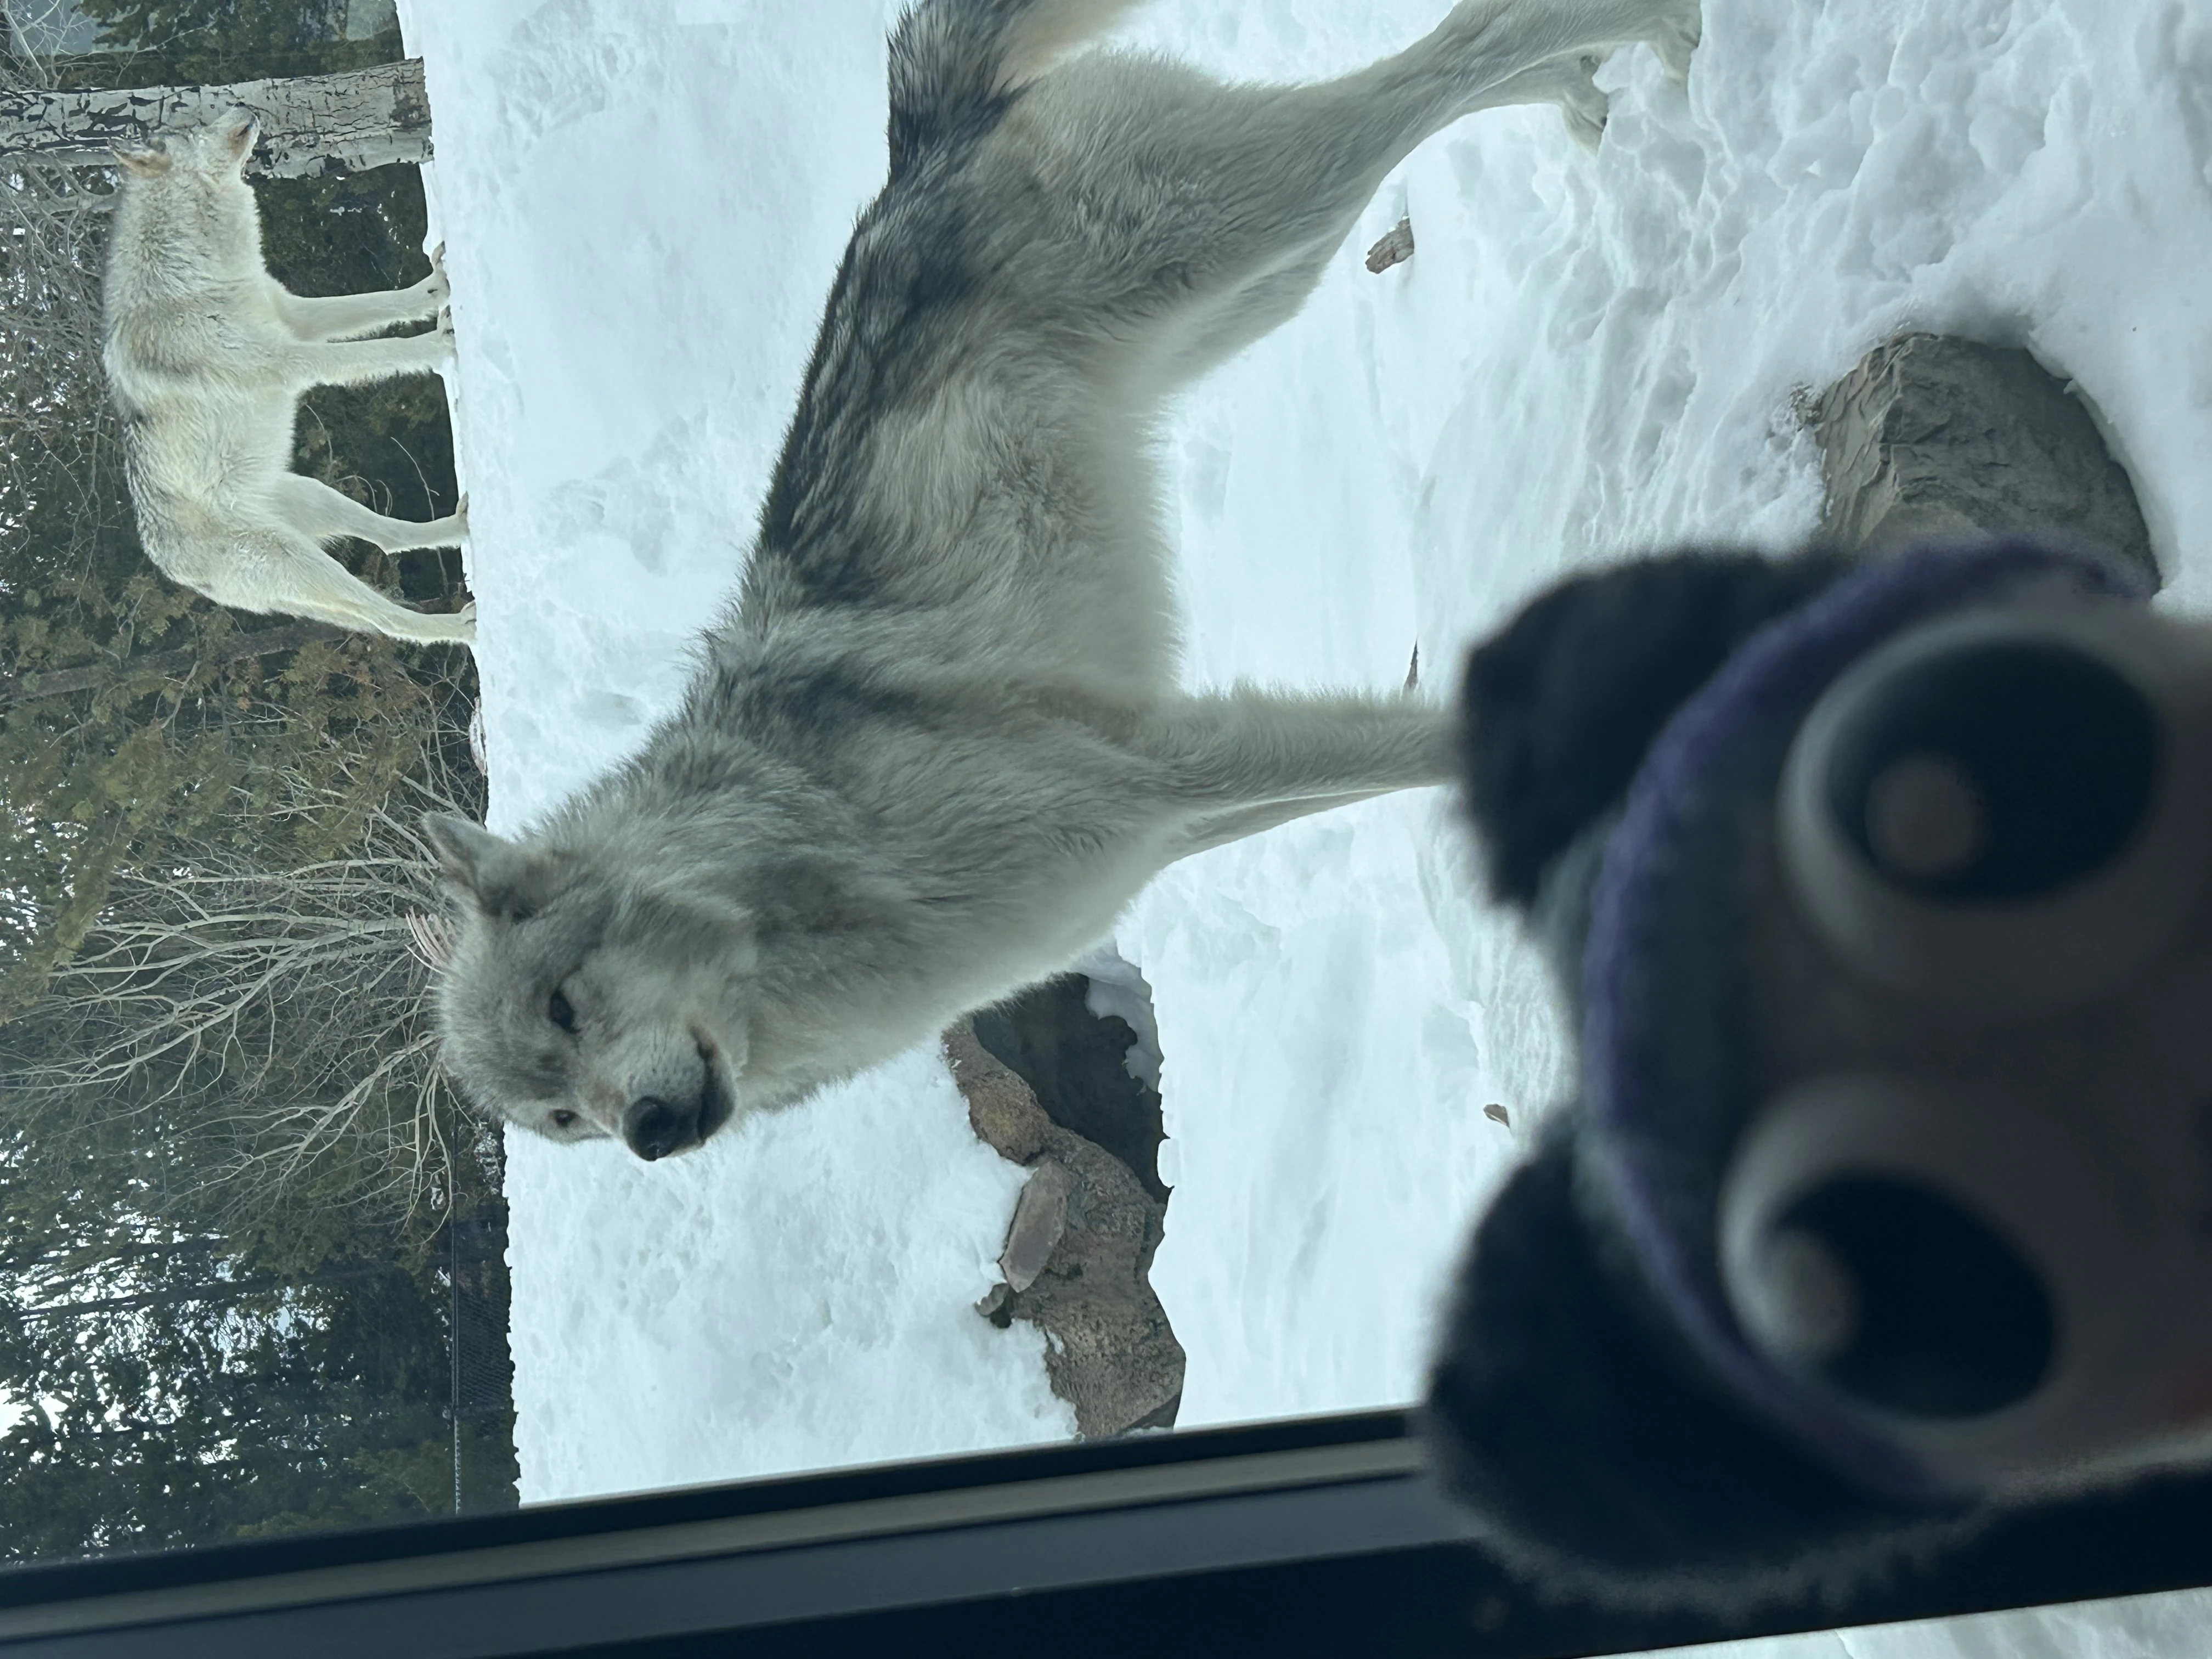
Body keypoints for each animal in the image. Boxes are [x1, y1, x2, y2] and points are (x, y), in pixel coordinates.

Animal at [103, 113, 474, 646]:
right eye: (194, 130)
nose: (243, 107)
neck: (197, 278)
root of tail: (170, 568)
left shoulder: (296, 317)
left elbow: (382, 303)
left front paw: (437, 285)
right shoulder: (291, 359)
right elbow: (380, 351)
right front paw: (437, 345)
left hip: (317, 498)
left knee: (389, 540)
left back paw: (461, 527)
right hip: (299, 557)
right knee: (388, 620)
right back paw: (462, 627)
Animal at [429, 0, 1701, 1160]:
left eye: (565, 1005)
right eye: (561, 1118)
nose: (646, 1135)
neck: (805, 869)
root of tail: (913, 148)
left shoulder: (1160, 766)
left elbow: (1427, 744)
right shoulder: (1165, 818)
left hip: (1267, 222)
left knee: (1461, 48)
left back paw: (1659, 37)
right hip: (1272, 277)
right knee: (1458, 71)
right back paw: (1587, 94)